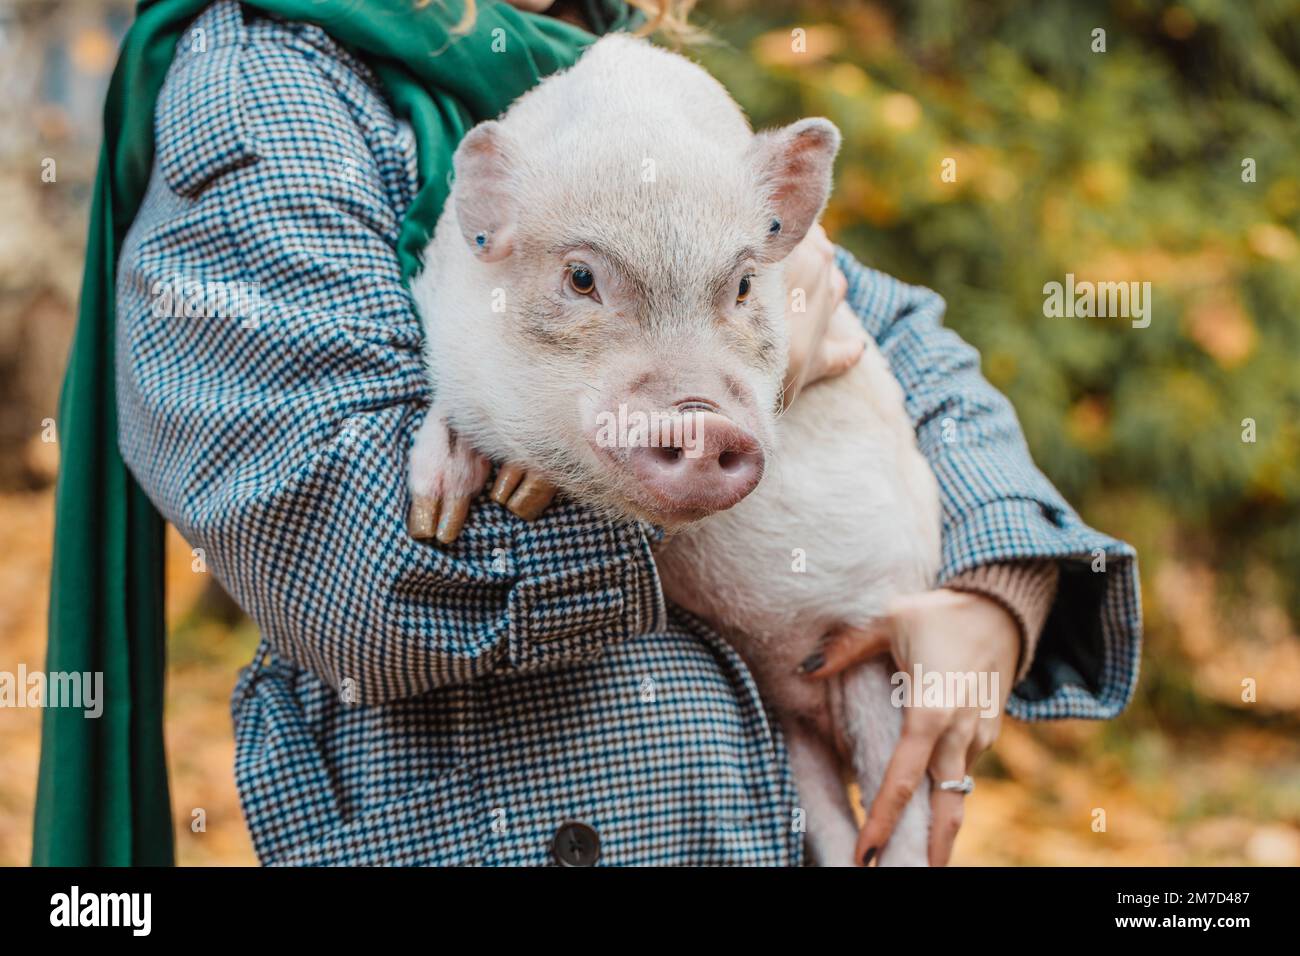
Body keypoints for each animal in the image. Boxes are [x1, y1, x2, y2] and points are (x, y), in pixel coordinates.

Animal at [407, 34, 941, 866]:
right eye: (581, 277)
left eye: (745, 283)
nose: (703, 420)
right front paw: (438, 515)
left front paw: (515, 487)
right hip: (793, 727)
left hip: (882, 654)